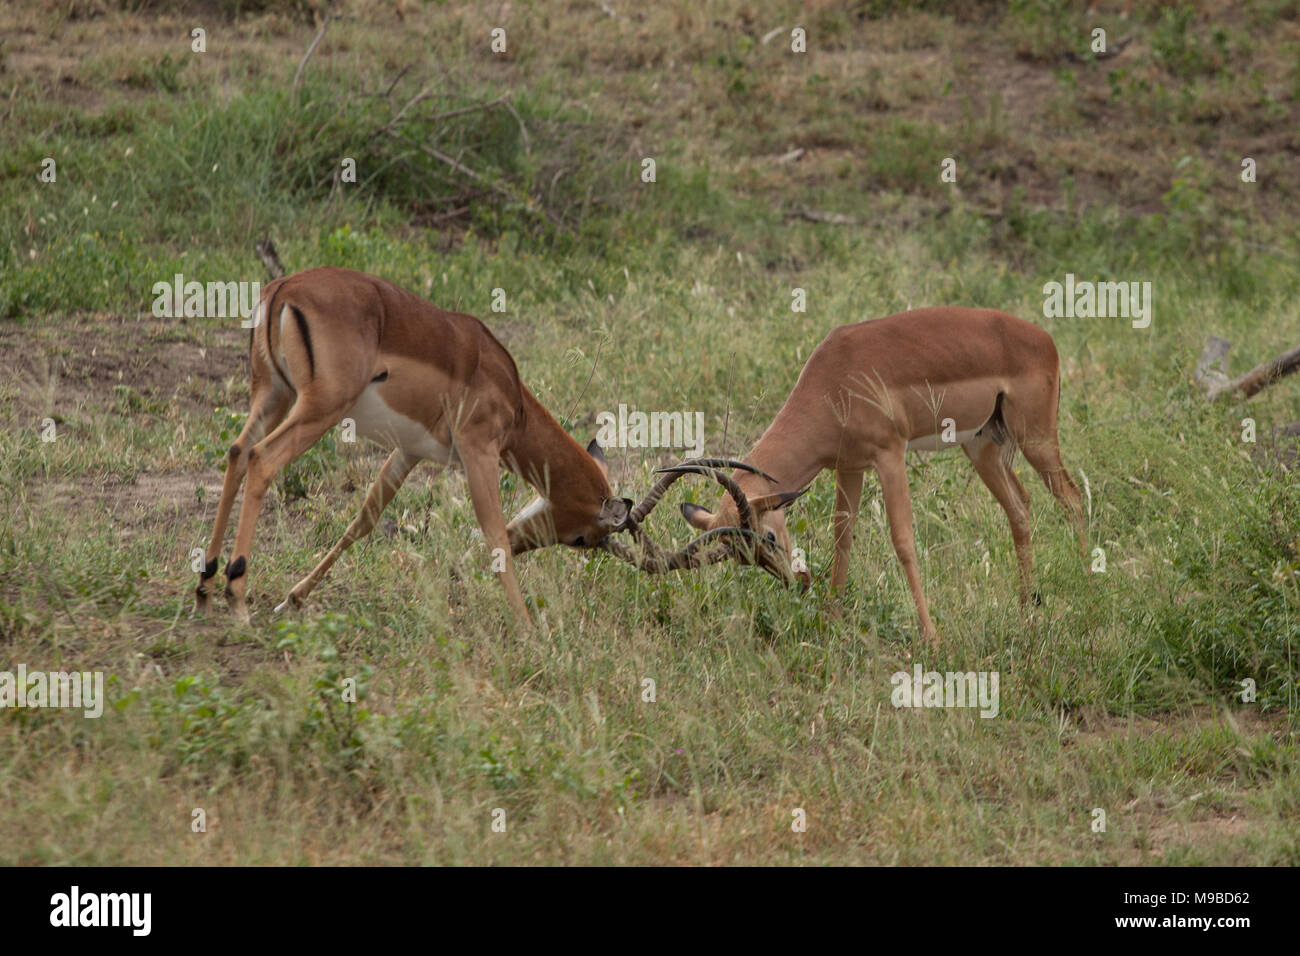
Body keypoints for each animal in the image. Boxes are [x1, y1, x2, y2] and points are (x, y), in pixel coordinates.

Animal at [194, 266, 751, 624]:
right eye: (581, 539)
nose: (537, 541)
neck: (513, 396)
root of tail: (284, 287)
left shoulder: (411, 451)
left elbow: (364, 520)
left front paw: (294, 599)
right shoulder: (479, 451)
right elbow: (495, 538)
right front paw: (529, 629)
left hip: (274, 395)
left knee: (237, 453)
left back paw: (205, 586)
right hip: (318, 408)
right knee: (263, 459)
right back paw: (237, 598)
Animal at [610, 308, 1085, 643]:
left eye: (767, 536)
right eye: (743, 558)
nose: (798, 584)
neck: (834, 380)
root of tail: (1043, 339)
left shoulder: (889, 456)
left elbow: (903, 540)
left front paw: (931, 637)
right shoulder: (850, 466)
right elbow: (843, 539)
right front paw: (833, 620)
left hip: (1035, 436)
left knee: (1072, 497)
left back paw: (1086, 587)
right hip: (984, 444)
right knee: (1021, 506)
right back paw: (1026, 608)